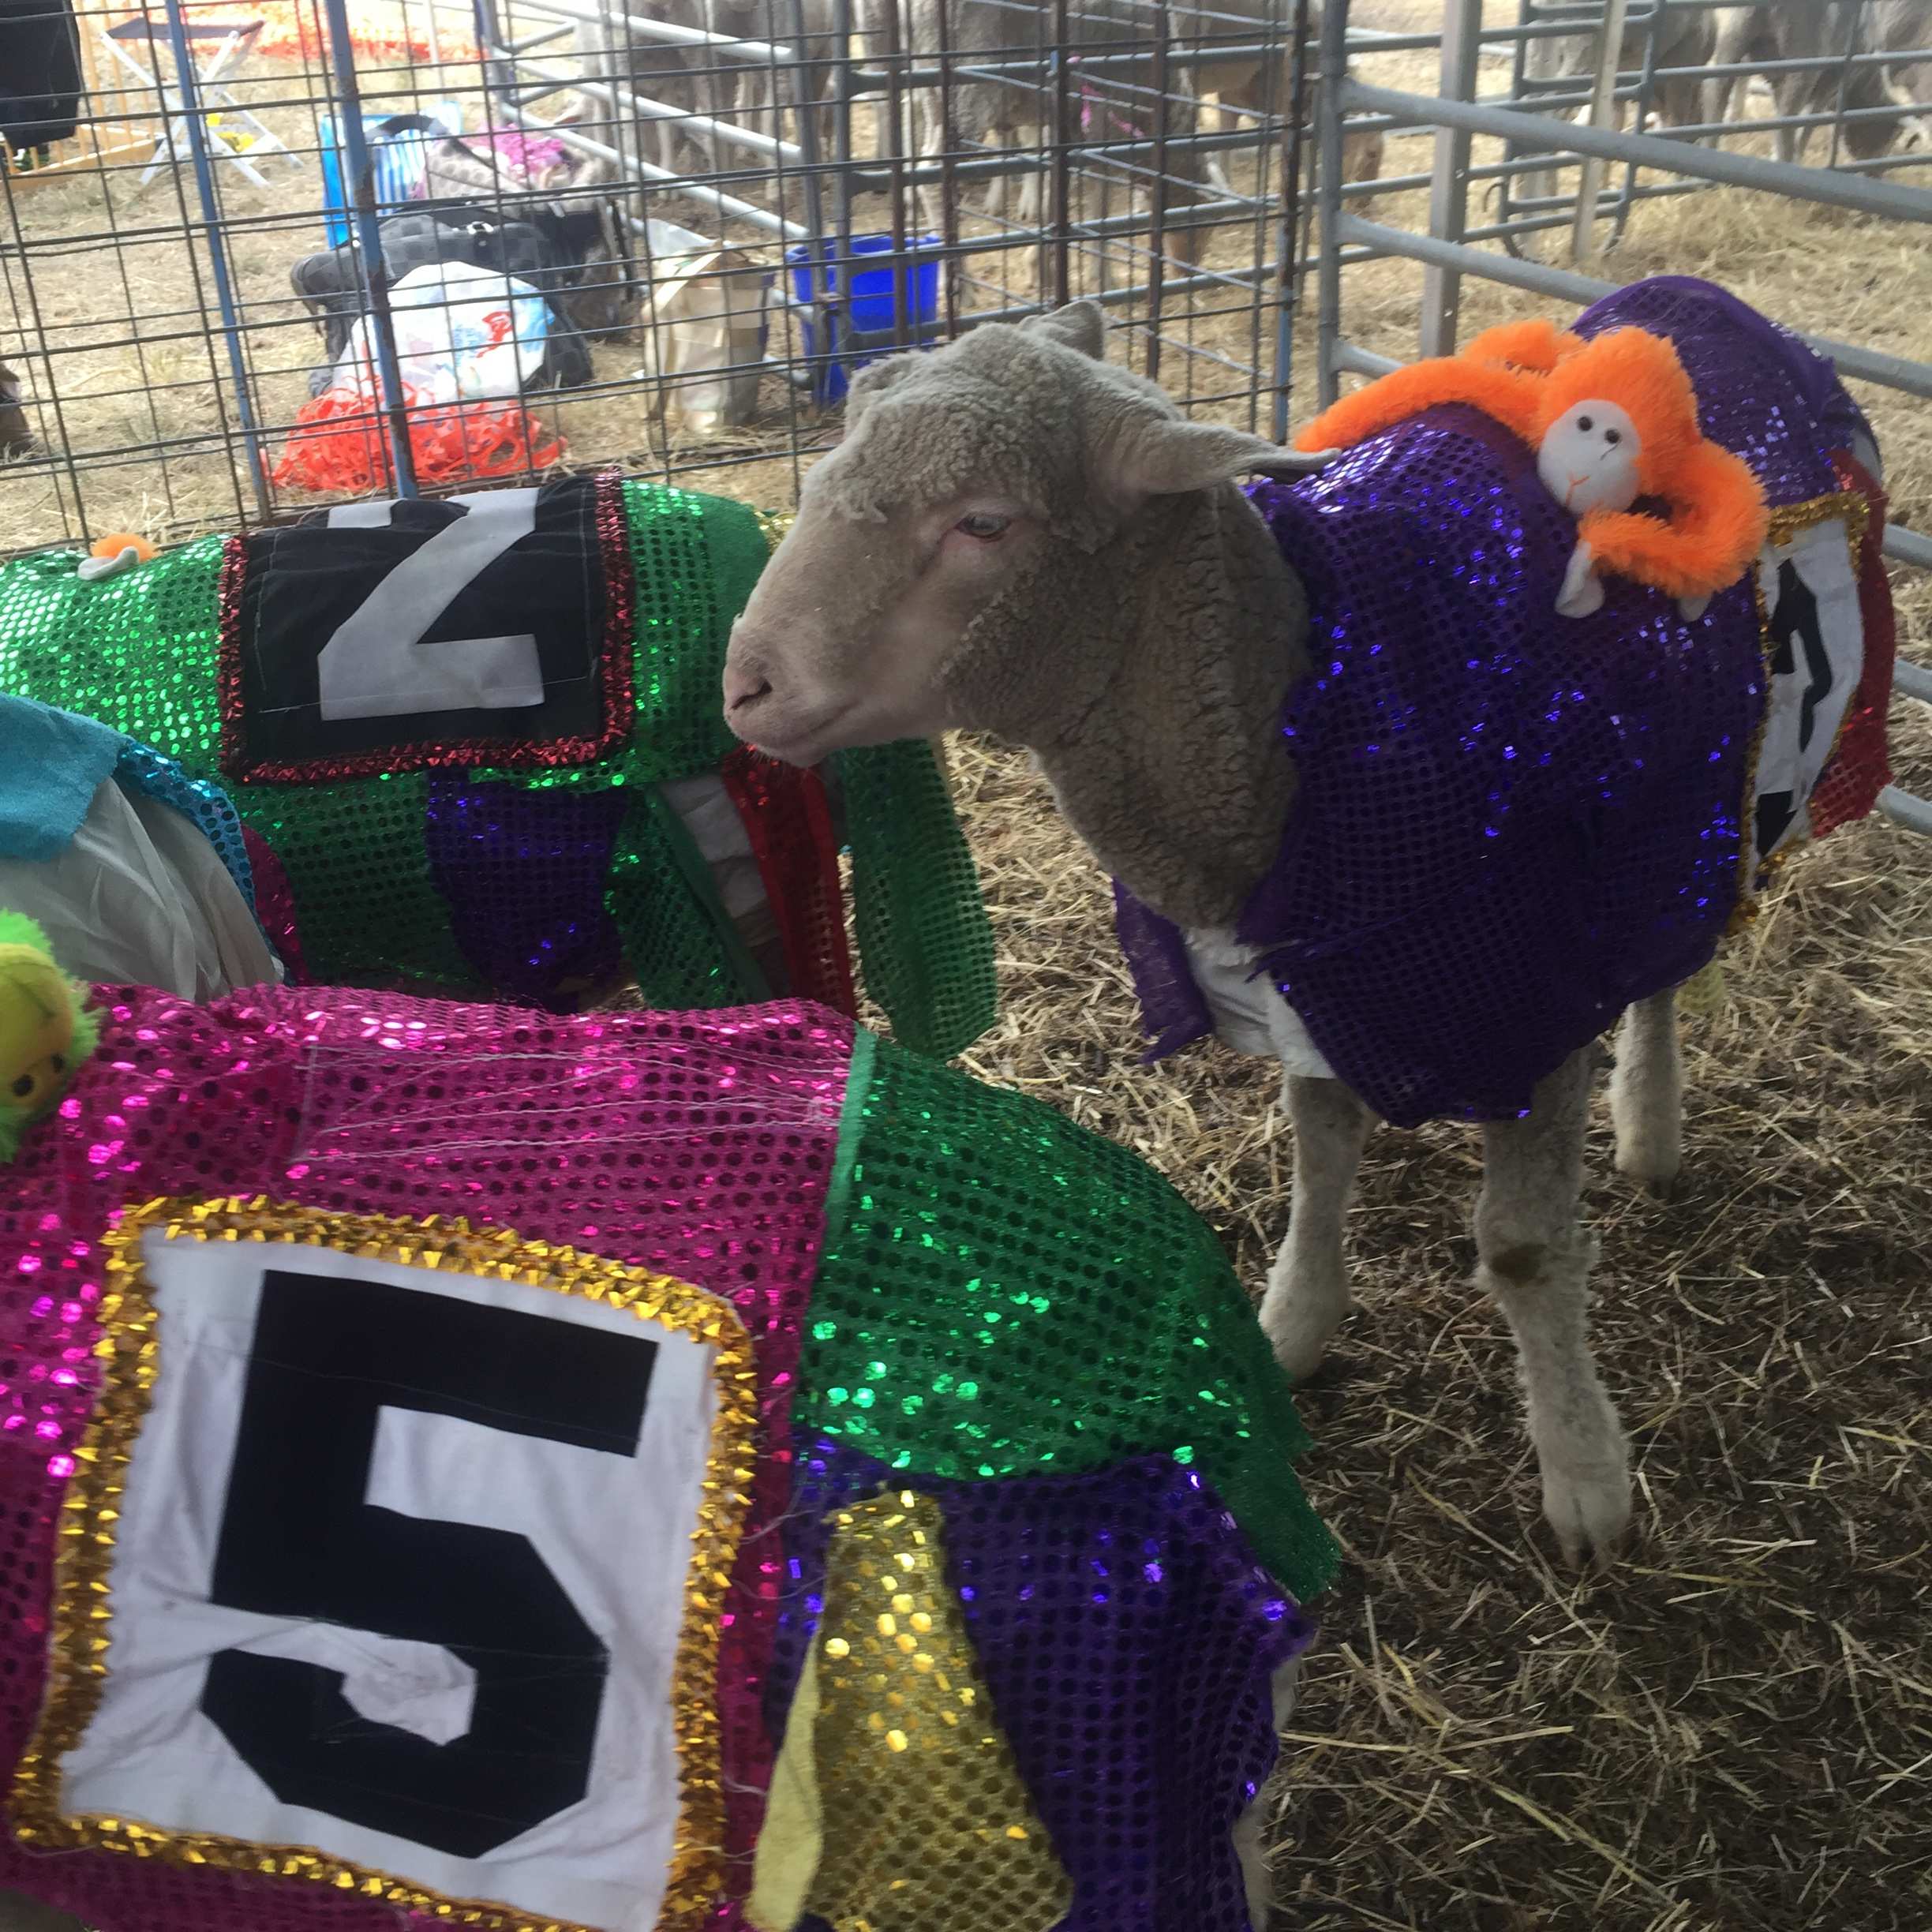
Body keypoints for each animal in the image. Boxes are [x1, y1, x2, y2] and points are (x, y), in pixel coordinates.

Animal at [719, 287, 1891, 1562]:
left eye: (983, 521)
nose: (743, 685)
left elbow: (1526, 1249)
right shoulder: (1301, 976)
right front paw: (1294, 1326)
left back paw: (1651, 1126)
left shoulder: (1534, 993)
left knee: (1669, 968)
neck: (1306, 709)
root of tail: (1683, 300)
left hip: (1683, 818)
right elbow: (1320, 1152)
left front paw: (1584, 1474)